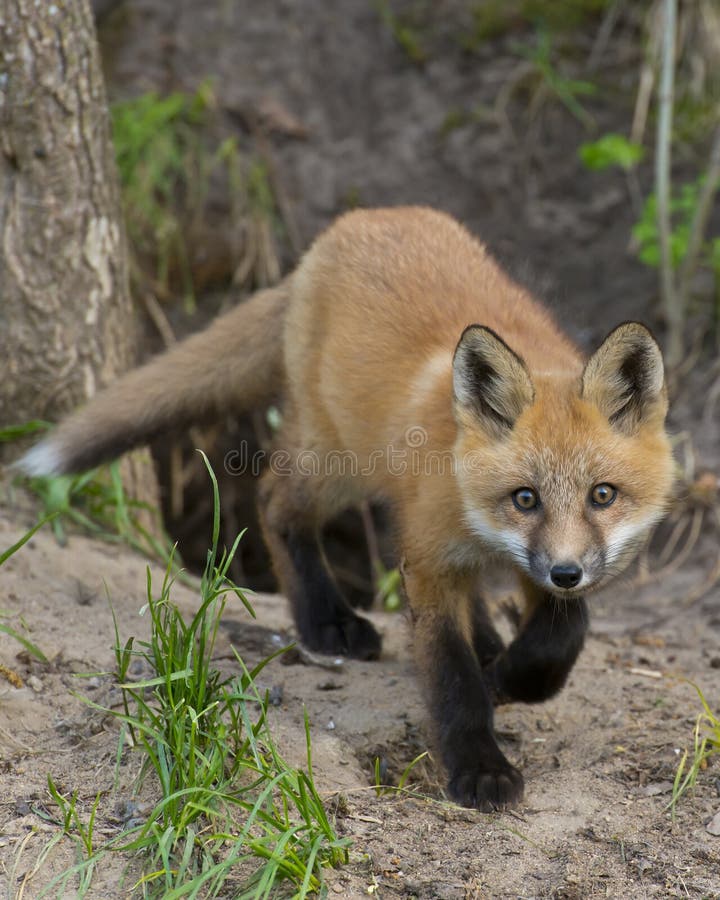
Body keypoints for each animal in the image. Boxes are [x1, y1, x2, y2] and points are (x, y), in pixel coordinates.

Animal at [18, 206, 675, 811]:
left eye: (602, 495)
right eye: (526, 498)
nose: (567, 573)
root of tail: (351, 224)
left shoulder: (520, 562)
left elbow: (563, 635)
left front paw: (514, 675)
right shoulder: (432, 560)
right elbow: (452, 676)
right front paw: (480, 766)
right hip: (333, 463)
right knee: (274, 502)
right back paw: (326, 621)